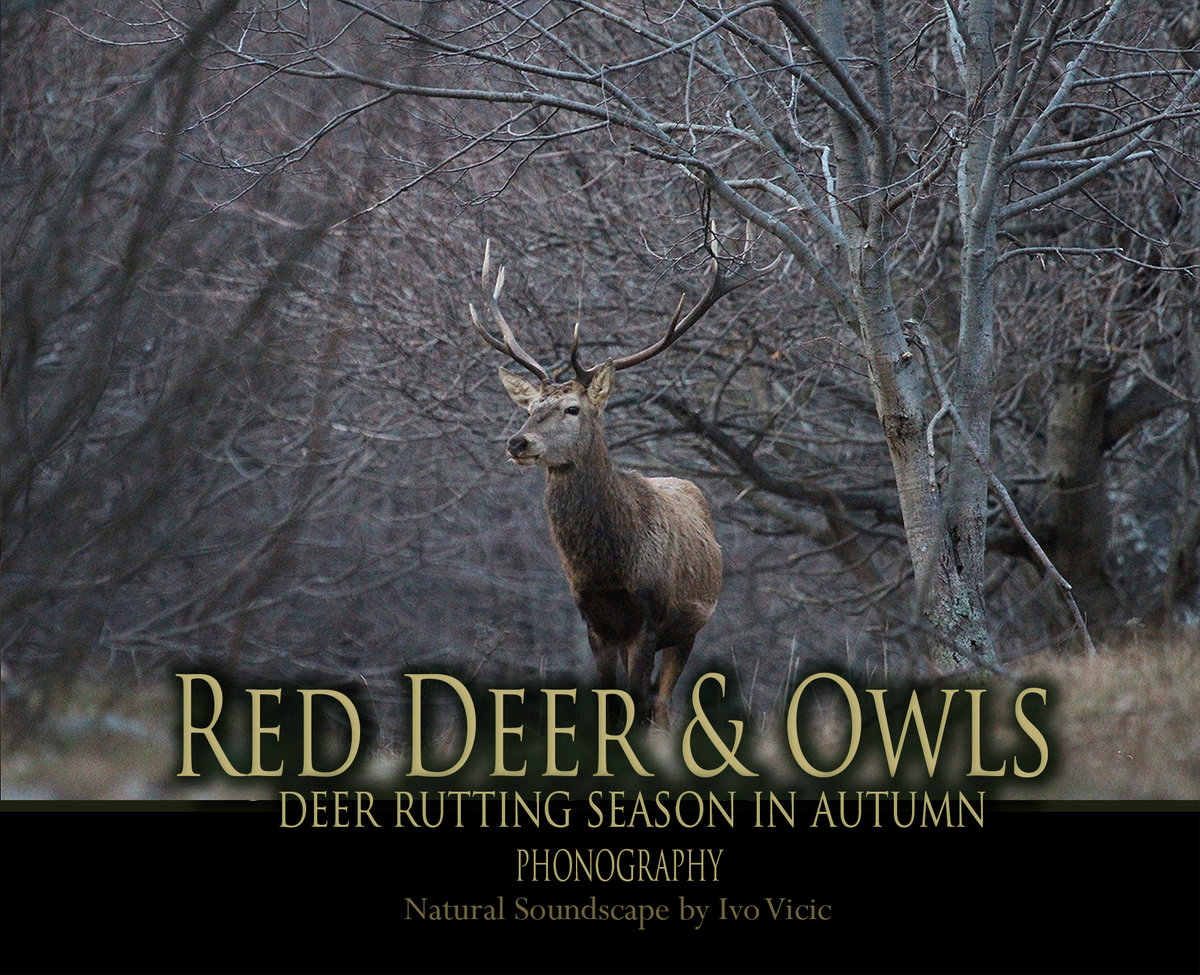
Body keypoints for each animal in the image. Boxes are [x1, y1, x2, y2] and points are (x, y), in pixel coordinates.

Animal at [470, 237, 746, 727]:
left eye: (572, 409)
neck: (609, 566)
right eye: (530, 408)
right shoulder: (596, 623)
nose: (518, 442)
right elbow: (609, 703)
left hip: (690, 627)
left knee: (661, 702)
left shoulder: (649, 619)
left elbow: (636, 703)